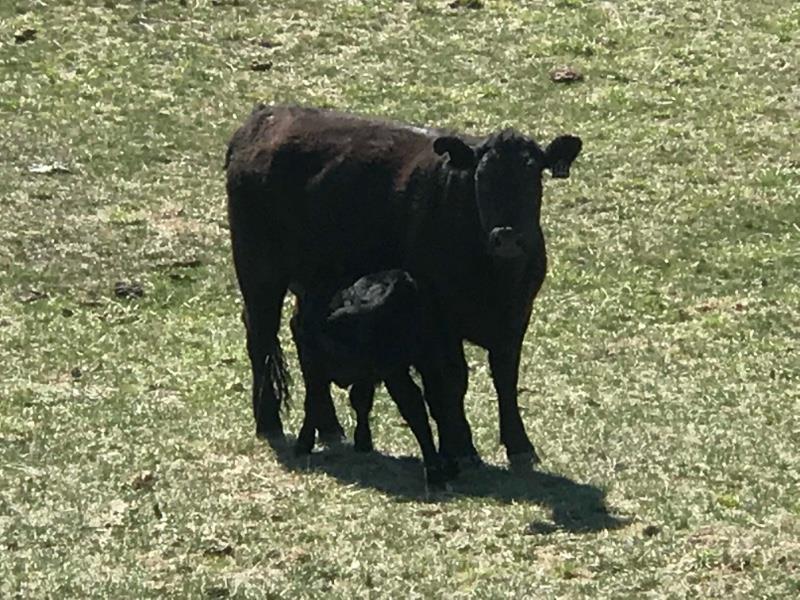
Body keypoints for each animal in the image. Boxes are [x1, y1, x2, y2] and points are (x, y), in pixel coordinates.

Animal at [289, 269, 457, 485]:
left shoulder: (312, 360)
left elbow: (313, 401)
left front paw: (303, 443)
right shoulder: (365, 373)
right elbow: (360, 400)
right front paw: (363, 441)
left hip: (393, 368)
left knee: (413, 405)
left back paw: (434, 470)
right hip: (428, 356)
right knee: (437, 399)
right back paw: (447, 465)